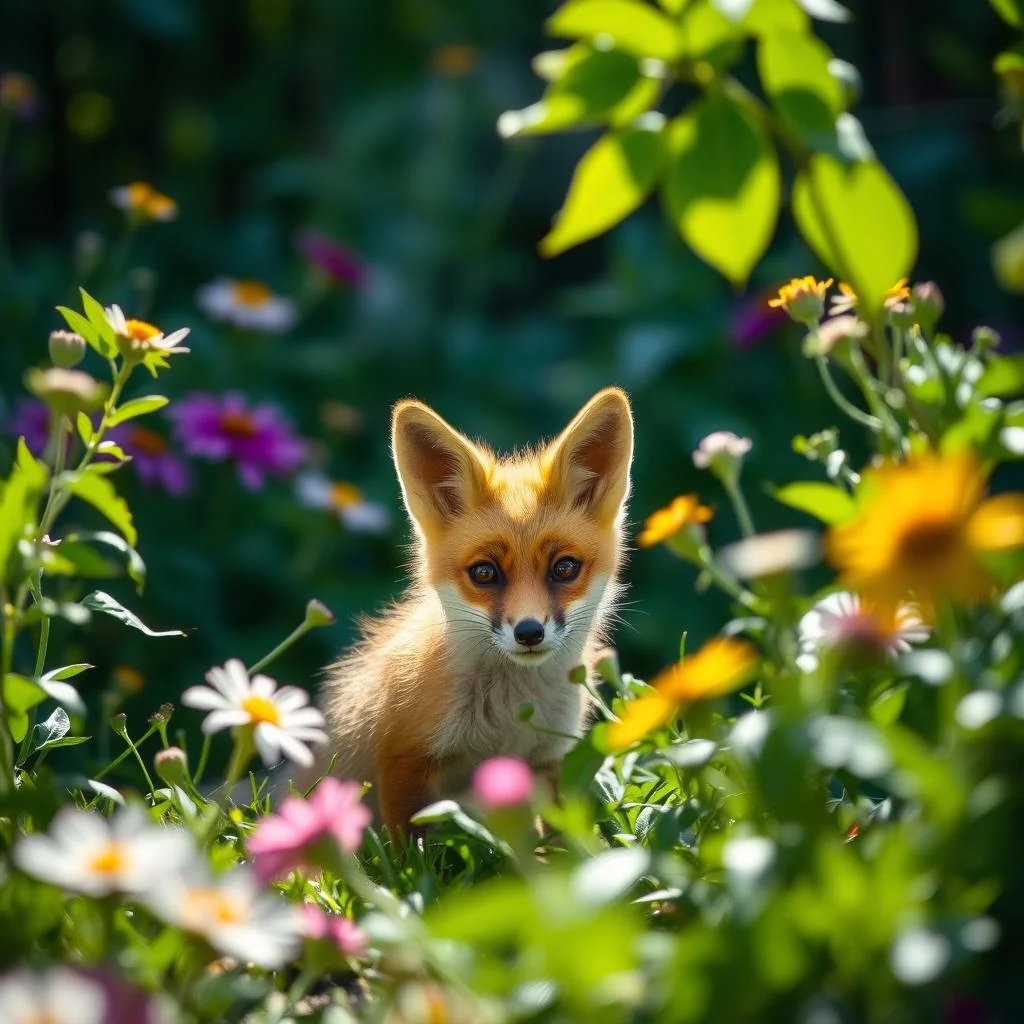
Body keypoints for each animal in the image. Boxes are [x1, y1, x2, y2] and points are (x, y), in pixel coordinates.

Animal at [301, 386, 633, 835]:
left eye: (564, 568)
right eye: (485, 572)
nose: (529, 632)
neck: (507, 718)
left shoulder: (549, 760)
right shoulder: (403, 759)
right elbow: (409, 848)